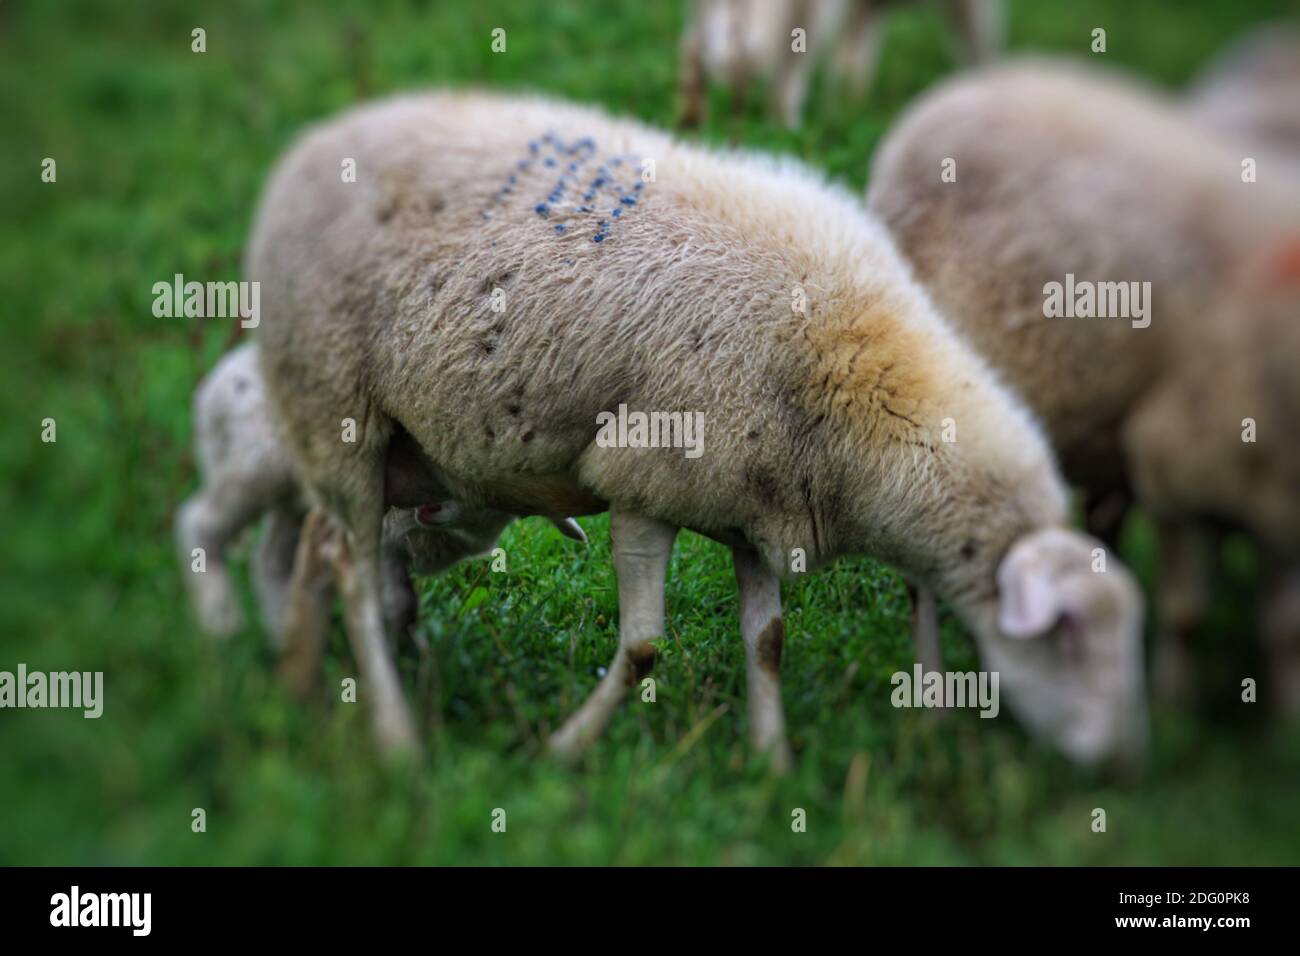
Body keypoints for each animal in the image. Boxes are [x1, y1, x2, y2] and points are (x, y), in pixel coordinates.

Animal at [175, 341, 585, 661]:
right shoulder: (381, 536)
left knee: (270, 558)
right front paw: (400, 650)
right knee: (200, 520)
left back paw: (287, 641)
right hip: (262, 463)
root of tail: (214, 386)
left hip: (294, 497)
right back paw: (221, 616)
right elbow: (399, 601)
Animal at [248, 89, 1146, 766]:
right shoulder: (643, 481)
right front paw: (565, 750)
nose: (1122, 765)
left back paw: (298, 685)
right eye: (1065, 638)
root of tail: (309, 150)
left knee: (322, 556)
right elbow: (644, 647)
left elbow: (769, 639)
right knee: (349, 568)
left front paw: (771, 764)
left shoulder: (754, 503)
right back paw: (394, 736)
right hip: (334, 408)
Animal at [867, 60, 1300, 710]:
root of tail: (957, 89)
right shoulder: (1171, 462)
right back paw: (933, 695)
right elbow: (1186, 613)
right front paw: (1175, 708)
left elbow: (1282, 633)